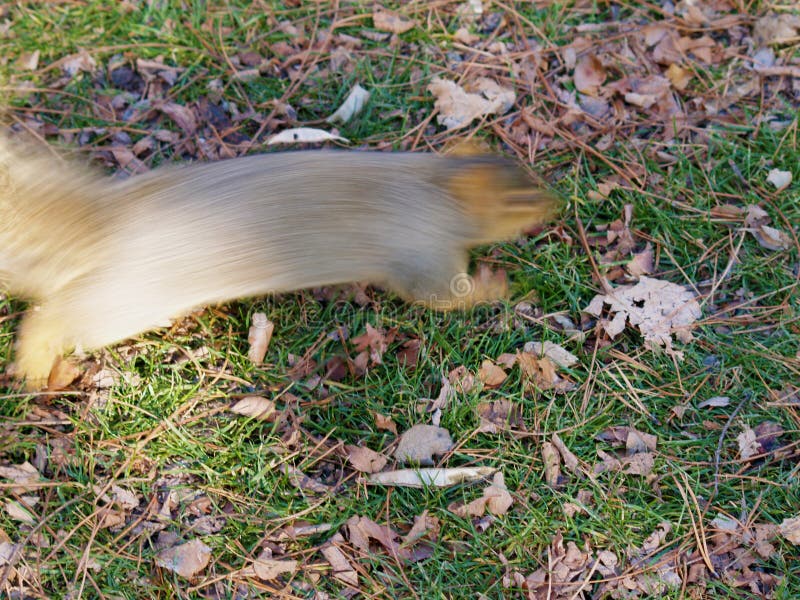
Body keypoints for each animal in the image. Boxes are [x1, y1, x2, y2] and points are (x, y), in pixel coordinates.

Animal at [0, 136, 558, 388]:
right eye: (517, 202)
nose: (552, 206)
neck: (434, 188)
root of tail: (109, 223)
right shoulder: (422, 254)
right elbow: (444, 296)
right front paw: (497, 285)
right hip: (124, 300)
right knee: (56, 316)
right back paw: (32, 364)